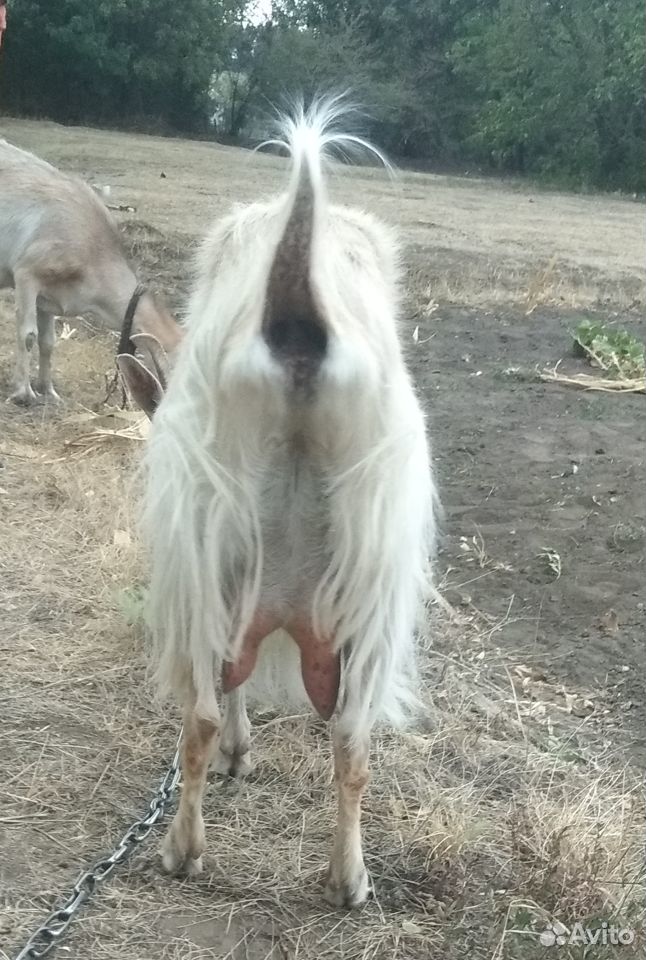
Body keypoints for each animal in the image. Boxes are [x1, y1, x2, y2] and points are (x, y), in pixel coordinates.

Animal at [0, 138, 180, 403]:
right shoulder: (26, 273)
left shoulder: (48, 295)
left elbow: (48, 342)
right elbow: (29, 335)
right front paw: (24, 392)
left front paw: (49, 391)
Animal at [119, 102, 436, 907]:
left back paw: (182, 851)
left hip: (207, 554)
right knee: (352, 736)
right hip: (369, 579)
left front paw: (241, 753)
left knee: (200, 713)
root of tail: (294, 312)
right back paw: (348, 879)